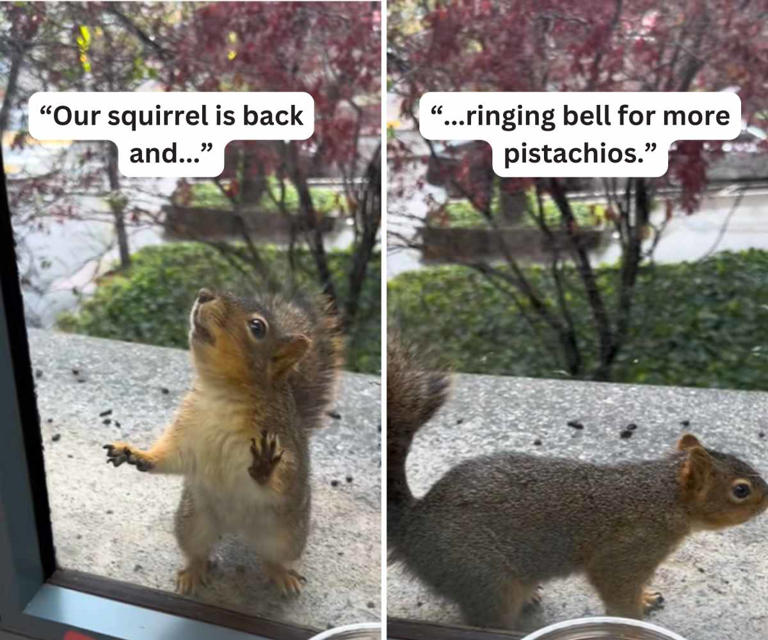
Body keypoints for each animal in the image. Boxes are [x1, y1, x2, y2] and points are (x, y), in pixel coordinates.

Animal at [104, 288, 342, 596]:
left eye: (257, 327)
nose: (204, 294)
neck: (223, 391)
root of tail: (236, 528)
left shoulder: (283, 439)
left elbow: (282, 476)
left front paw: (264, 467)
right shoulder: (187, 431)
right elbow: (170, 455)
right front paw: (135, 453)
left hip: (286, 534)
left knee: (272, 558)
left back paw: (282, 575)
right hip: (192, 521)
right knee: (198, 550)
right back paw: (193, 572)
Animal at [388, 337, 768, 630]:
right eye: (741, 490)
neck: (662, 496)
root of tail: (411, 528)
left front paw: (645, 599)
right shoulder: (628, 550)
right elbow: (616, 588)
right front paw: (631, 621)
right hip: (483, 577)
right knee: (487, 619)